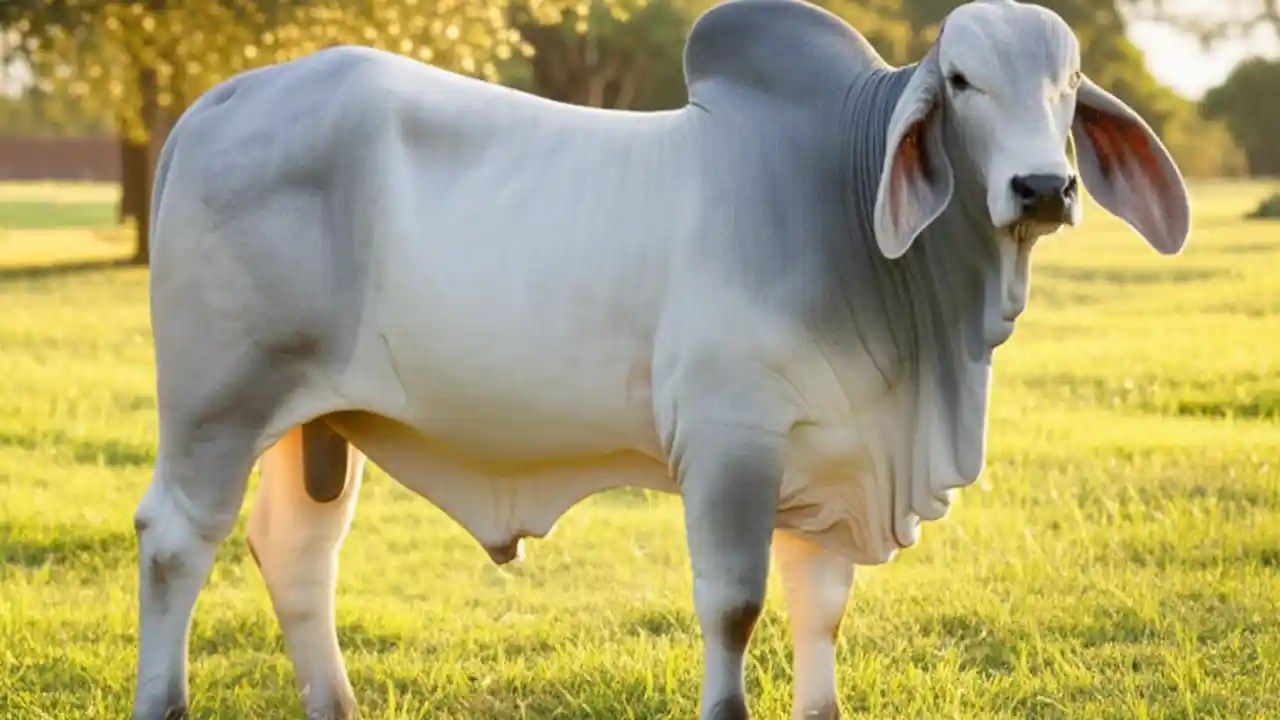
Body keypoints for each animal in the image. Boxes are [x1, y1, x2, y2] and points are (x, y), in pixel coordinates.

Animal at [130, 0, 1189, 718]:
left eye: (1067, 84)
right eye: (963, 81)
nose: (1043, 187)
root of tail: (220, 99)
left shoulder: (835, 458)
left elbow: (820, 609)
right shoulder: (730, 443)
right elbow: (734, 607)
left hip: (317, 421)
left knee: (297, 552)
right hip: (220, 401)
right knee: (177, 540)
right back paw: (164, 699)